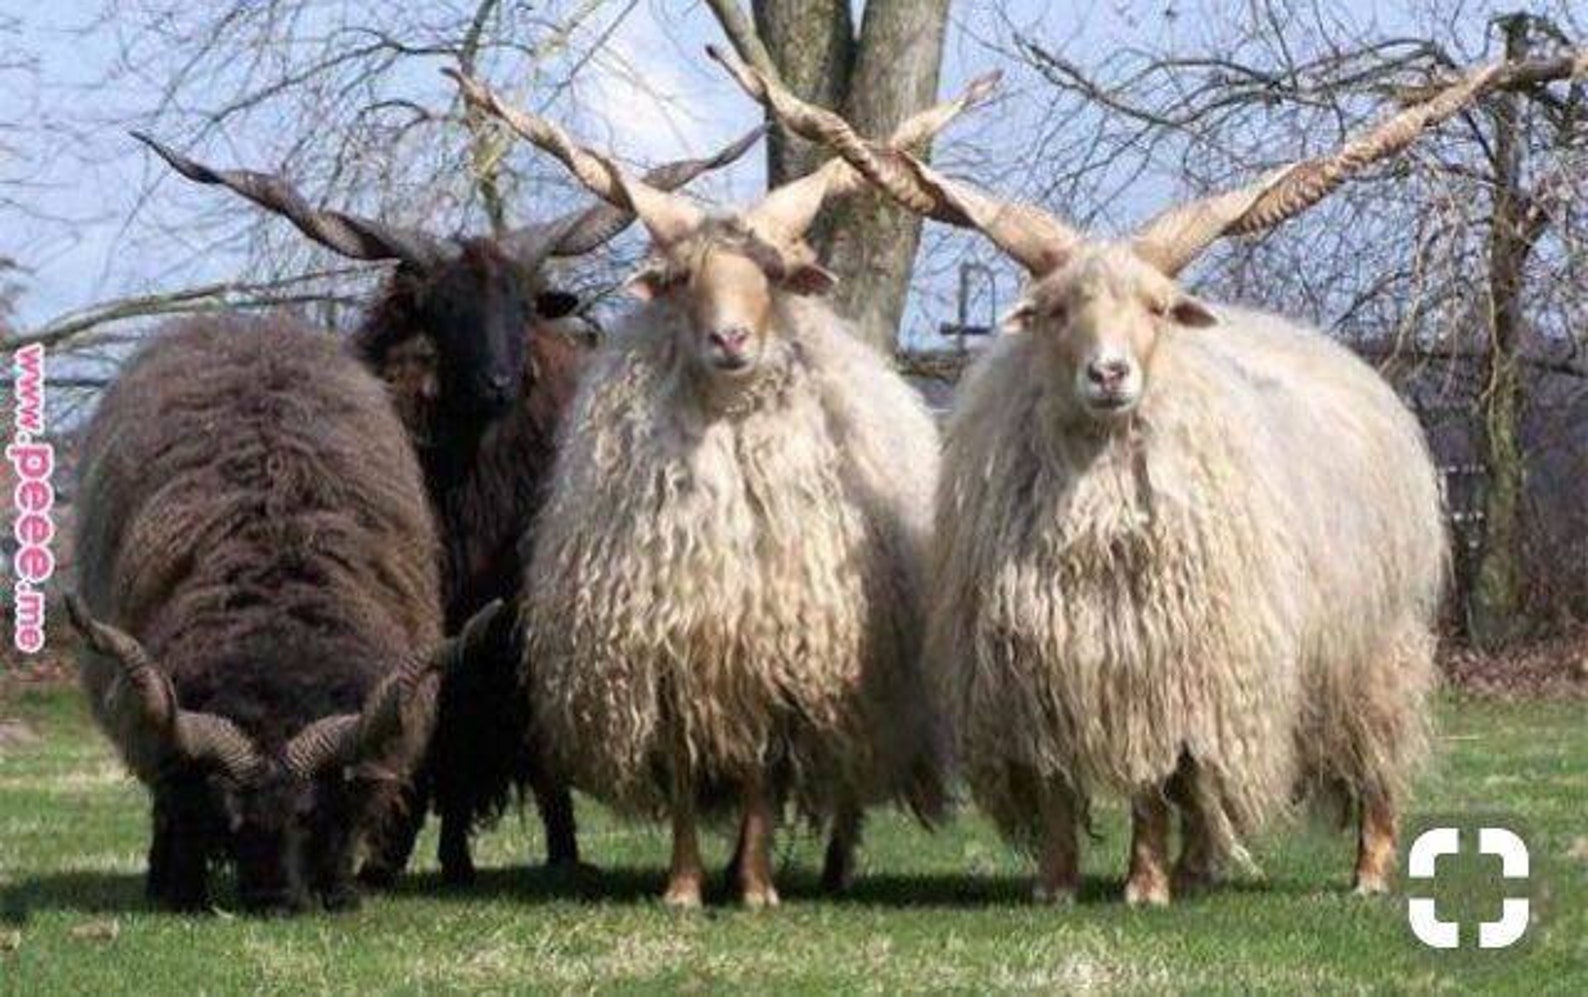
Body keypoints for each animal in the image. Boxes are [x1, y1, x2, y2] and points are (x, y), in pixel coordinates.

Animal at [67, 314, 507, 914]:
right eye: (231, 814)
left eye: (307, 813)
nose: (273, 900)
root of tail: (239, 323)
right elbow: (180, 811)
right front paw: (182, 891)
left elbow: (351, 813)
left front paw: (340, 892)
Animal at [133, 130, 759, 885]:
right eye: (445, 309)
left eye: (523, 306)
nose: (498, 383)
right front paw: (391, 854)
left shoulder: (507, 632)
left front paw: (537, 851)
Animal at [451, 65, 1000, 907]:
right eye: (683, 279)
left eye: (770, 275)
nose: (731, 338)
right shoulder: (674, 651)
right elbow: (686, 776)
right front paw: (683, 887)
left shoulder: (776, 654)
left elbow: (761, 782)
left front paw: (755, 886)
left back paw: (830, 868)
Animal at [724, 47, 1499, 904]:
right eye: (1058, 308)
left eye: (1158, 308)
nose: (1109, 372)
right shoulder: (1044, 672)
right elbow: (1065, 788)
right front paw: (1058, 882)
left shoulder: (1165, 668)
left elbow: (1154, 786)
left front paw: (1144, 884)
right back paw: (1199, 868)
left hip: (1374, 647)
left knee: (1375, 759)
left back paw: (1367, 870)